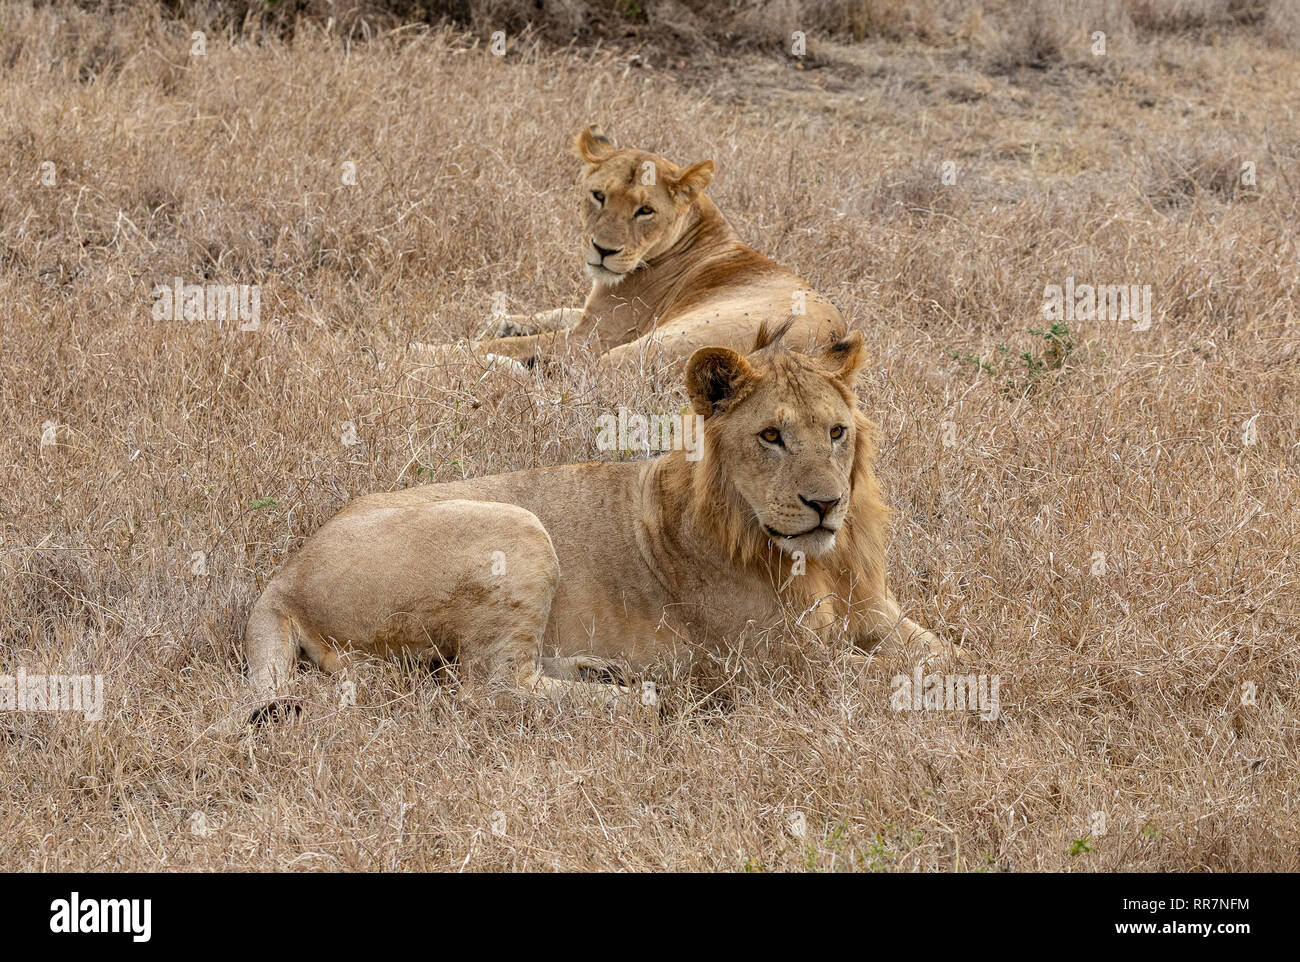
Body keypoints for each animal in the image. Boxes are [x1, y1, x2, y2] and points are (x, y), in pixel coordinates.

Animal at [245, 324, 961, 712]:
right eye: (771, 437)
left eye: (836, 432)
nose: (825, 504)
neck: (822, 562)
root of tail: (284, 575)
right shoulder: (781, 662)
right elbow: (899, 676)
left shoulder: (876, 614)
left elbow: (948, 655)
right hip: (516, 527)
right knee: (490, 690)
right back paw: (636, 698)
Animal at [415, 124, 845, 369]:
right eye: (598, 196)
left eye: (645, 210)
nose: (602, 250)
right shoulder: (592, 314)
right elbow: (558, 311)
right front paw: (505, 319)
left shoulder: (592, 337)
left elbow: (510, 341)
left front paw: (425, 350)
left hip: (666, 340)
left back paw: (493, 365)